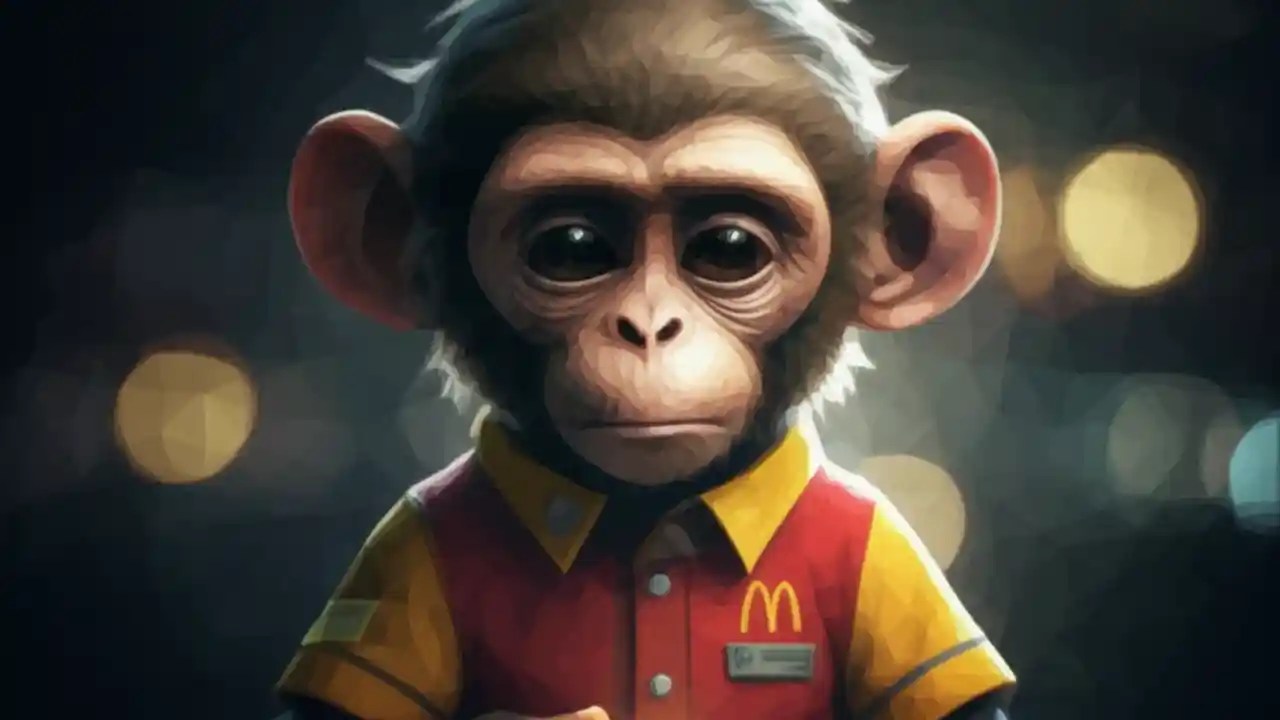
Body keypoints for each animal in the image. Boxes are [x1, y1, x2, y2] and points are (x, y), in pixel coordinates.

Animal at [271, 0, 1015, 718]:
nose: (649, 327)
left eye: (730, 249)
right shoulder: (399, 557)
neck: (652, 512)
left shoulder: (890, 556)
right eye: (571, 248)